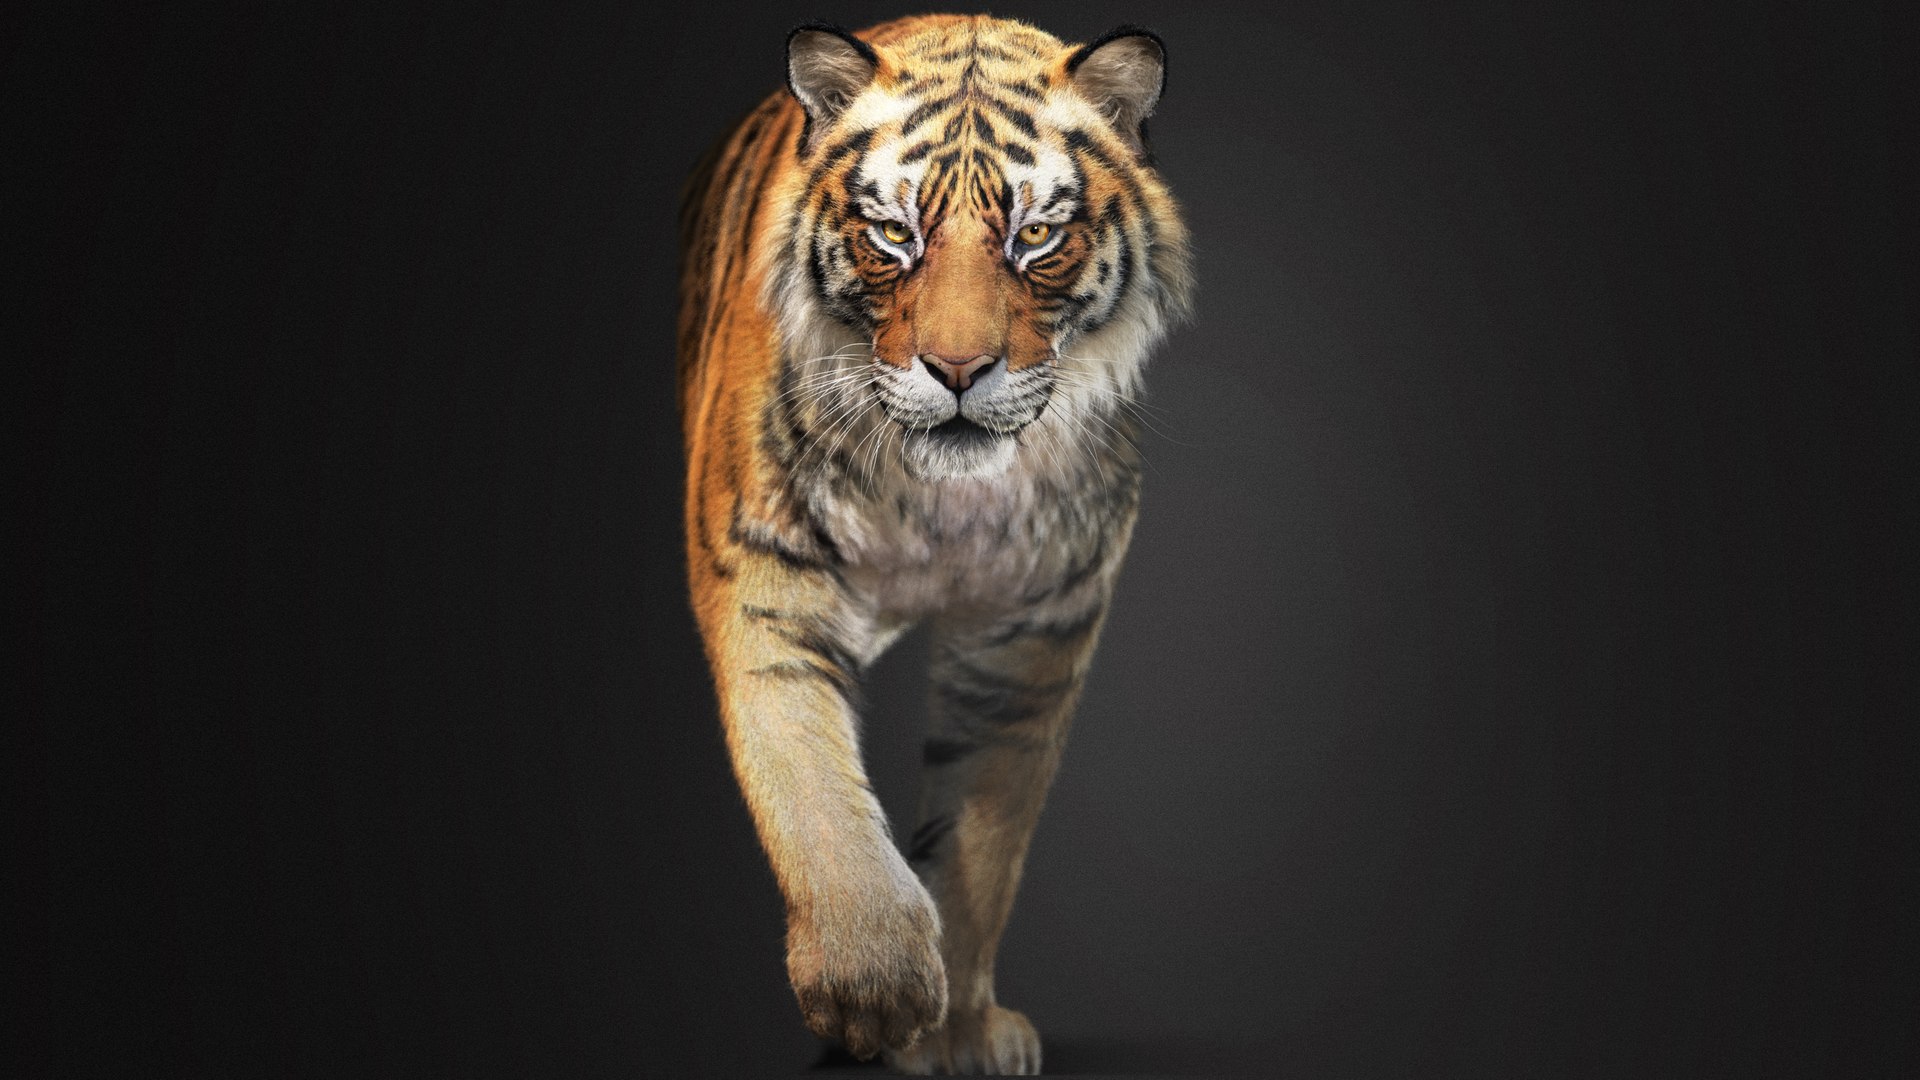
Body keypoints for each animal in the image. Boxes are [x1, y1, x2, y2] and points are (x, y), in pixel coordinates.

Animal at [676, 14, 1193, 1074]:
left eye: (1033, 236)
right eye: (894, 233)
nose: (956, 369)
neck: (943, 505)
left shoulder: (1031, 641)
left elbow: (980, 847)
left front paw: (956, 1030)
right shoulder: (765, 576)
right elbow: (809, 785)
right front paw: (871, 988)